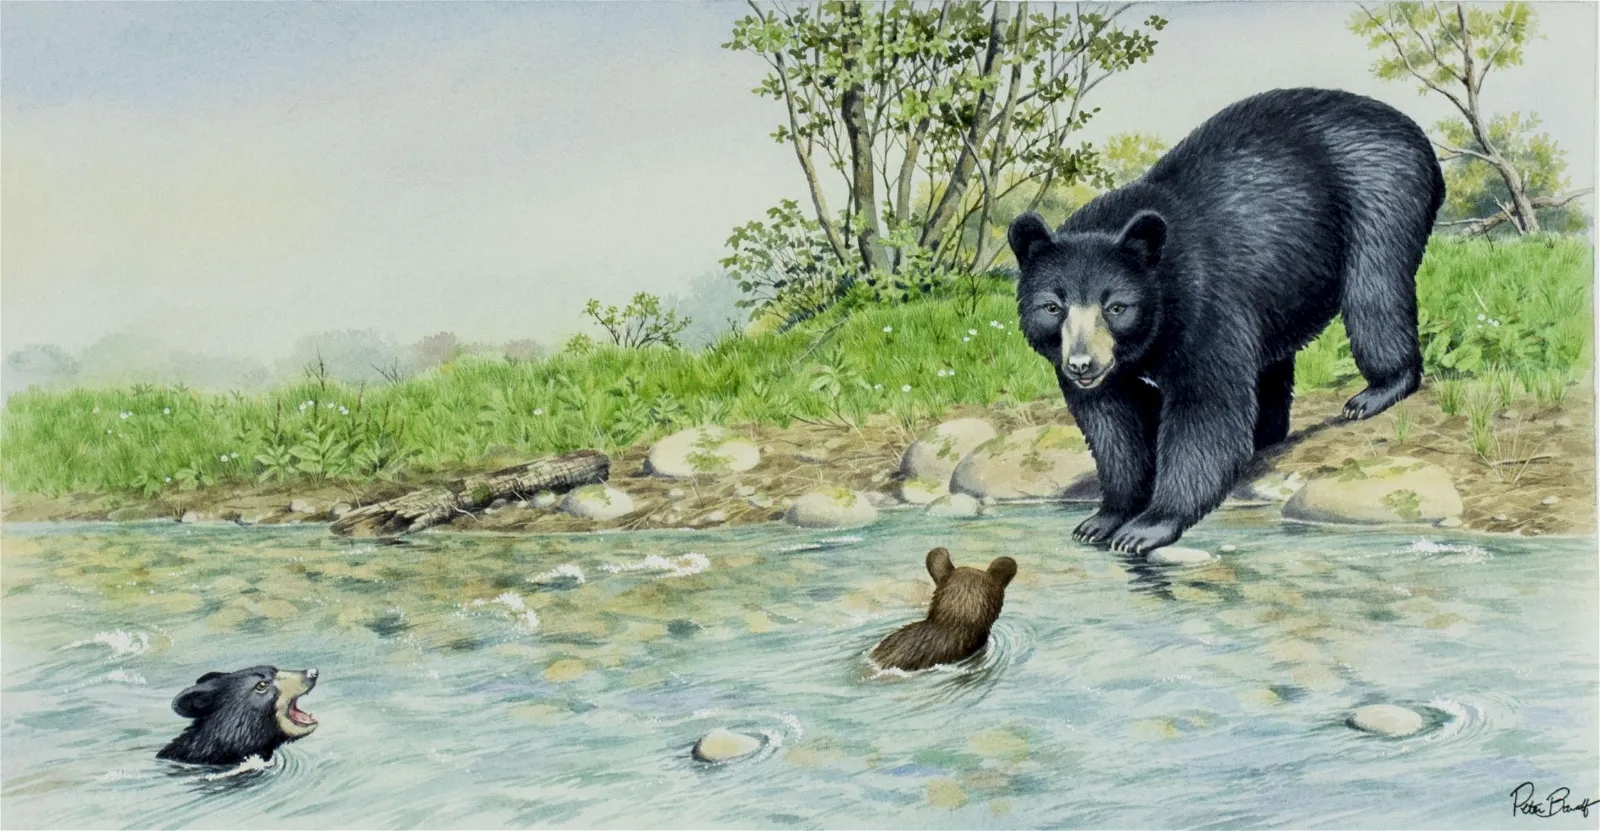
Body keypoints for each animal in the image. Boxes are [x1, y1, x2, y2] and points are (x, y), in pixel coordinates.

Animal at [1008, 87, 1444, 555]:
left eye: (1117, 306)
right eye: (1053, 307)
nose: (1082, 364)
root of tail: (1407, 127)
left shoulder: (1206, 305)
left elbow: (1207, 410)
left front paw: (1149, 524)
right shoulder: (1110, 373)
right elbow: (1111, 427)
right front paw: (1104, 517)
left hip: (1381, 195)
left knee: (1375, 291)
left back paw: (1377, 391)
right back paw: (1268, 435)